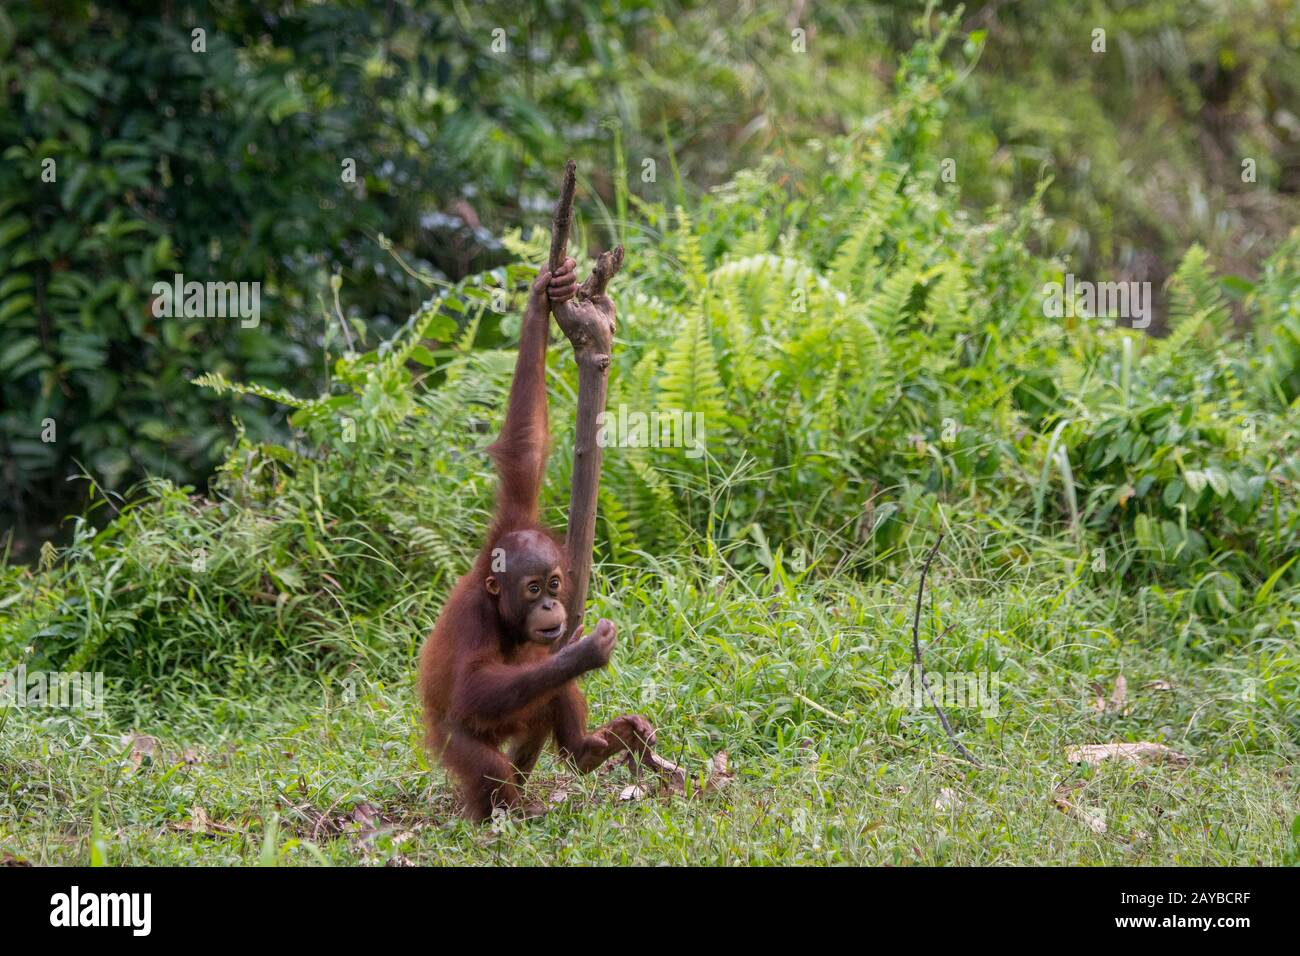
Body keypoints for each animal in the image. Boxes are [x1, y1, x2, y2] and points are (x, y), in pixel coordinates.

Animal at [418, 258, 655, 821]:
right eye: (532, 590)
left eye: (552, 583)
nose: (551, 607)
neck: (502, 611)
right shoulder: (473, 618)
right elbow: (472, 685)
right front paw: (582, 653)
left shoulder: (513, 518)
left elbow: (524, 444)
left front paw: (546, 293)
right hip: (448, 737)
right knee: (485, 756)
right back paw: (499, 818)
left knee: (545, 699)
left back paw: (588, 751)